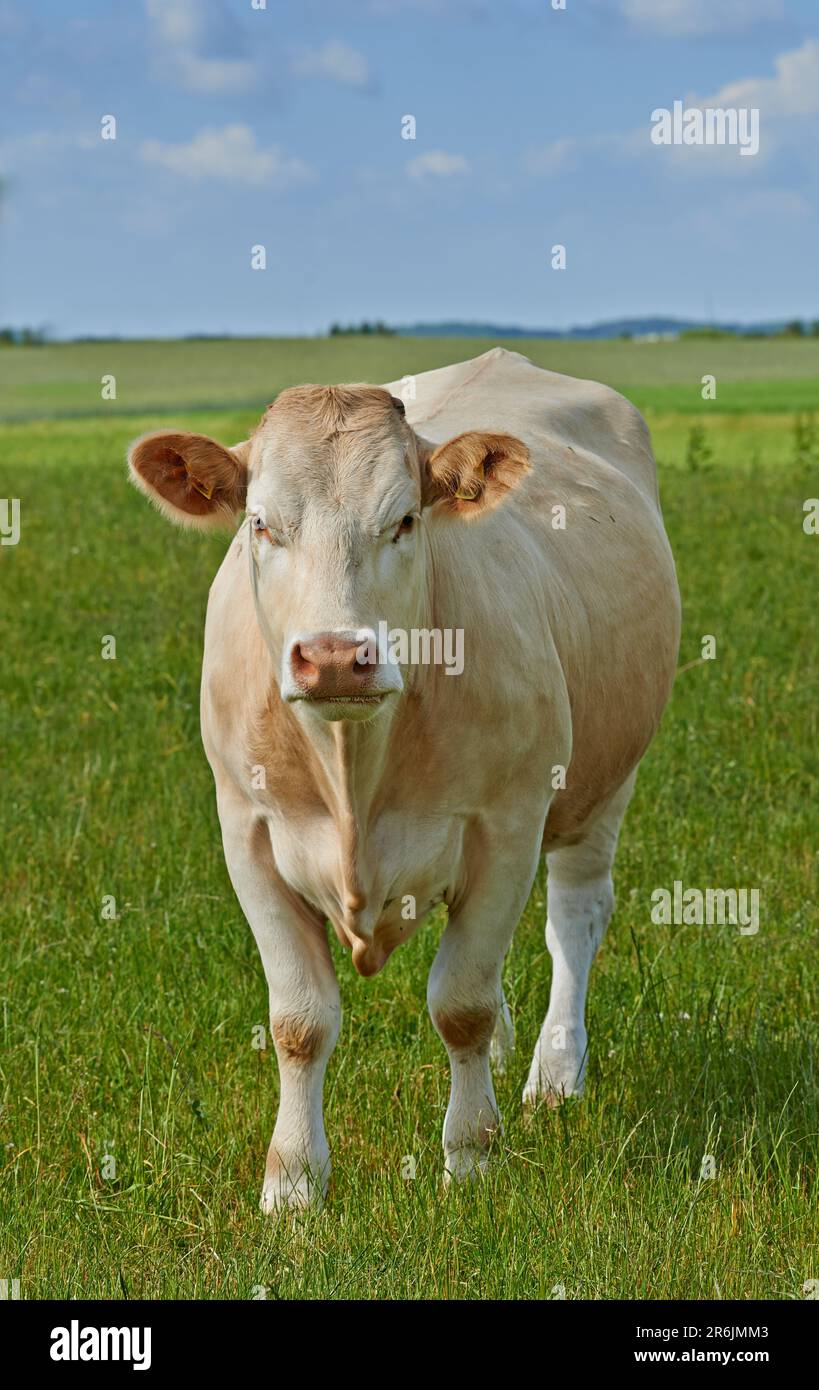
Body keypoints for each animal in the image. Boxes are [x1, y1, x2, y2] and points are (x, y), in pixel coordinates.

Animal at [128, 347, 680, 1211]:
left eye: (405, 521)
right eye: (260, 524)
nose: (331, 657)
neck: (353, 768)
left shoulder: (506, 824)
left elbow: (461, 1006)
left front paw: (471, 1156)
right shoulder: (246, 833)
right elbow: (299, 1021)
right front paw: (292, 1183)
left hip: (603, 782)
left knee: (574, 917)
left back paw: (555, 1070)